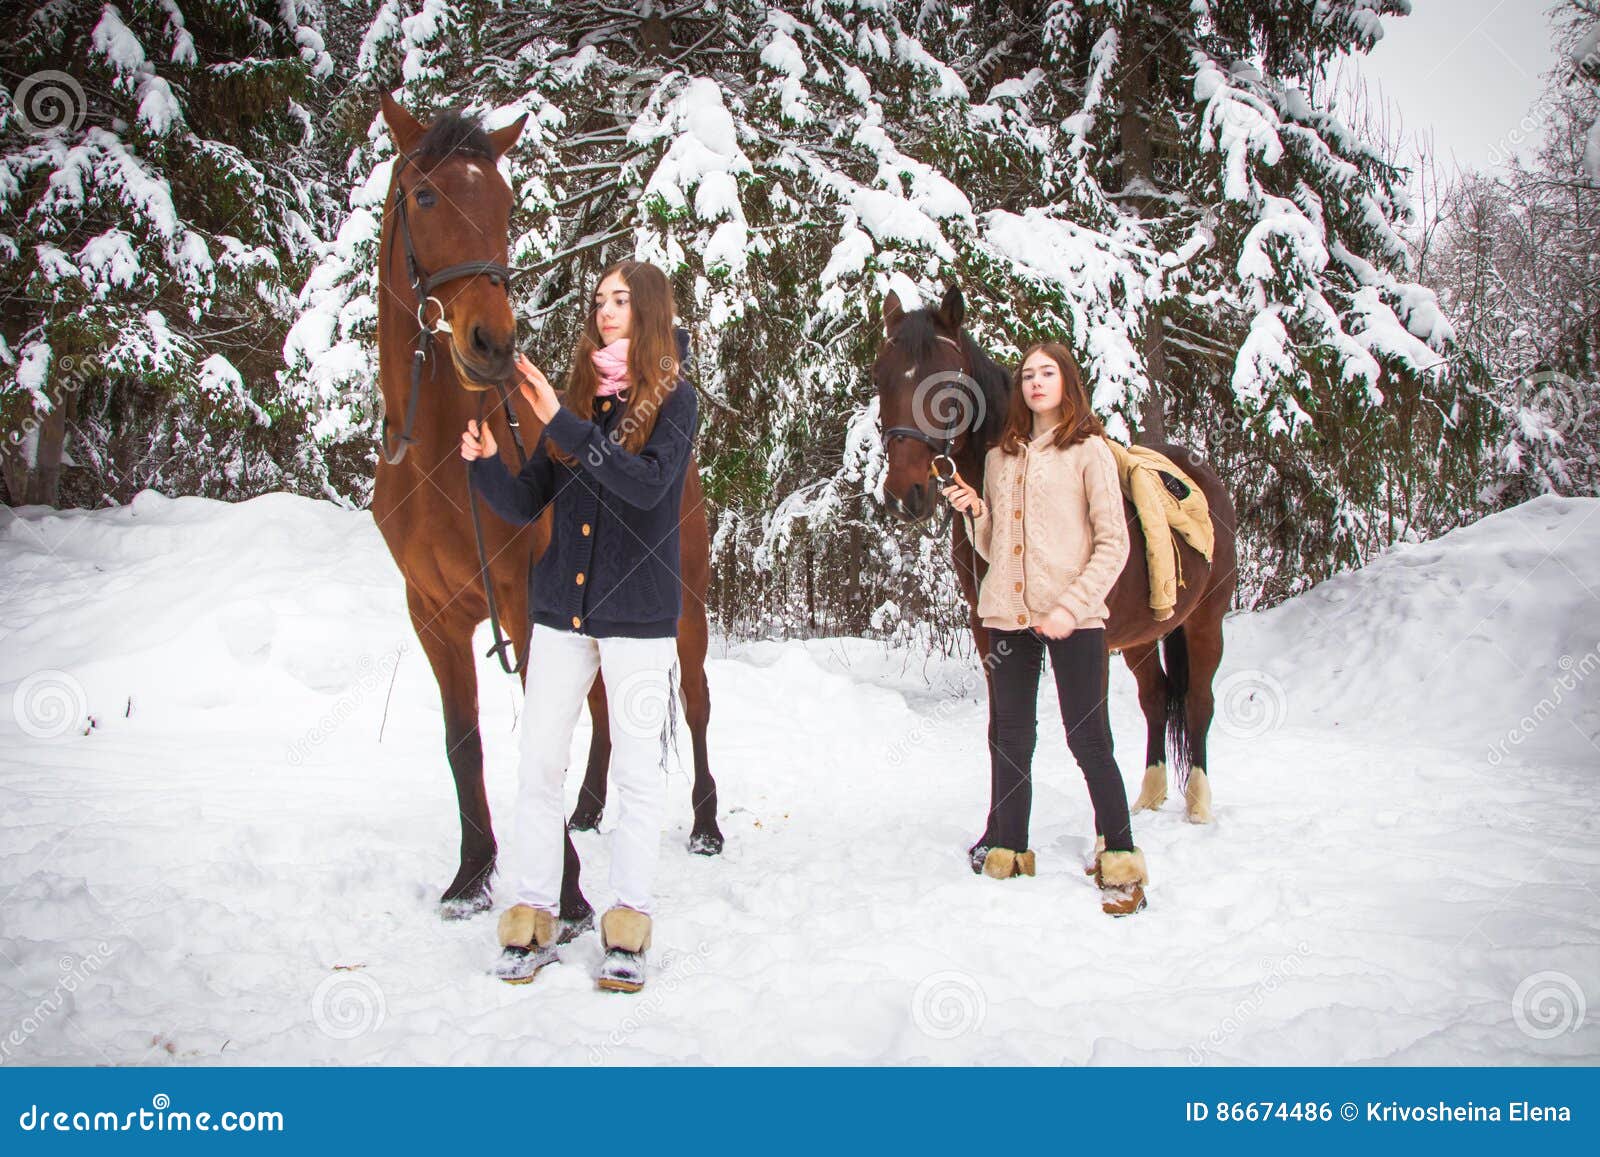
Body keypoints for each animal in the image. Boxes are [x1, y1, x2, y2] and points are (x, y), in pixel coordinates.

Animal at [872, 285, 1239, 823]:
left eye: (948, 382)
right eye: (879, 375)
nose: (905, 495)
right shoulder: (991, 631)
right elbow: (1002, 733)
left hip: (1205, 621)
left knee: (1198, 702)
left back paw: (1198, 802)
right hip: (1142, 636)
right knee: (1155, 697)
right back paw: (1149, 795)